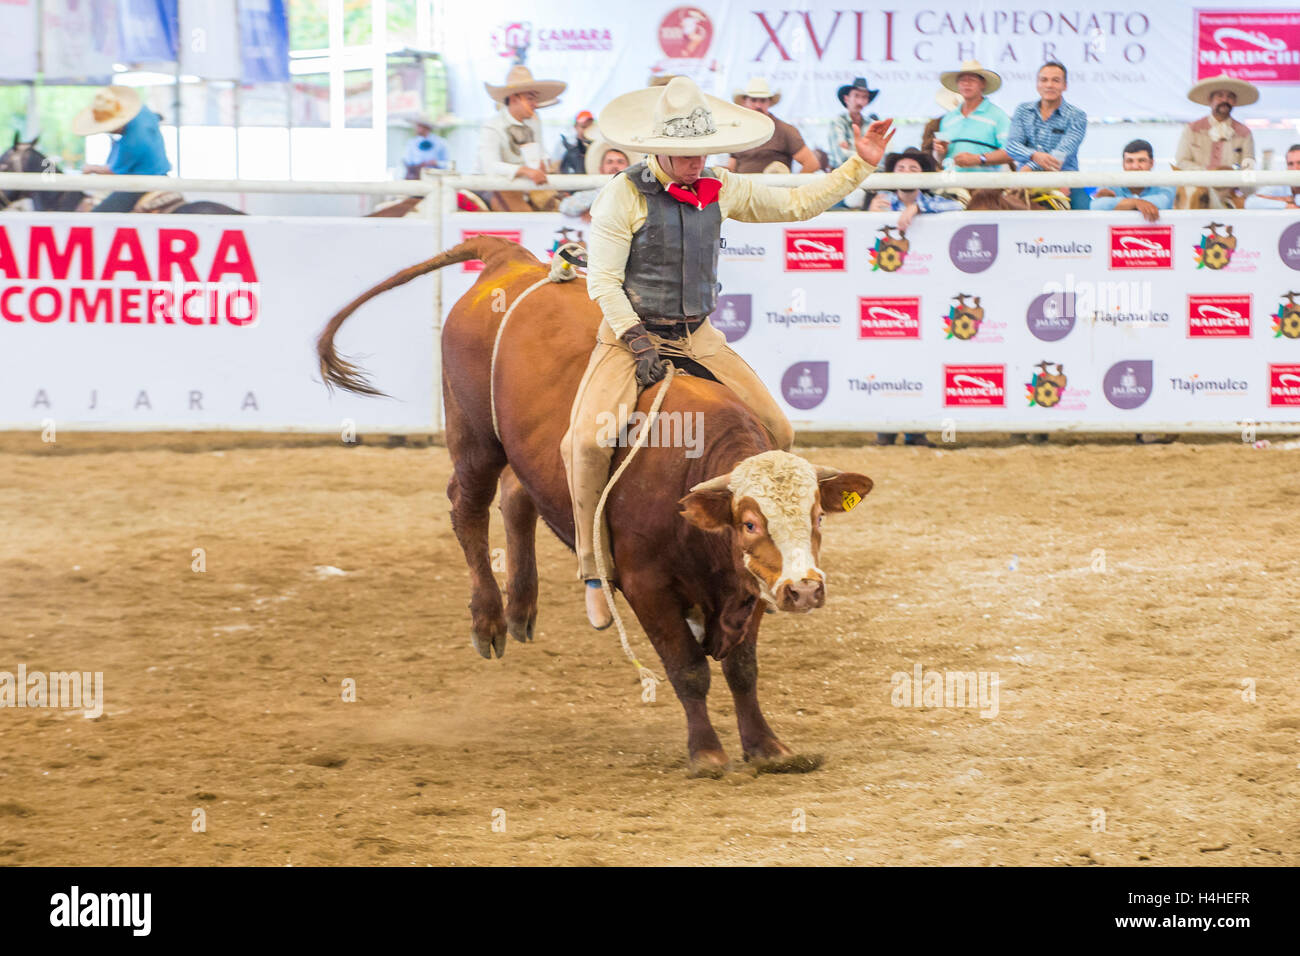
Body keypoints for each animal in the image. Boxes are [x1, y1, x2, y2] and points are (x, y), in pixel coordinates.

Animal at [316, 236, 874, 774]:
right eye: (751, 523)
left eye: (817, 517)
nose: (805, 590)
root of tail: (508, 257)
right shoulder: (648, 585)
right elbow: (688, 669)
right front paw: (707, 754)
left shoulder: (750, 584)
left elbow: (742, 669)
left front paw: (766, 747)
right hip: (474, 434)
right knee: (467, 505)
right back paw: (490, 619)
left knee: (517, 496)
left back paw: (521, 608)